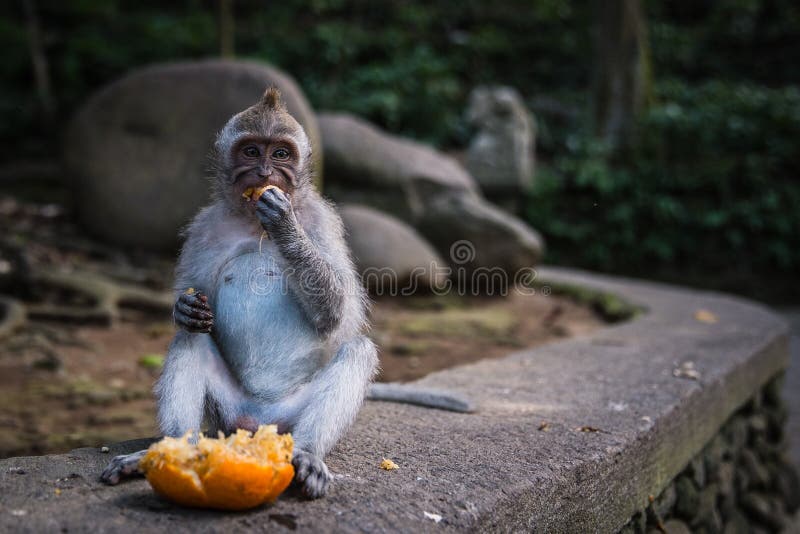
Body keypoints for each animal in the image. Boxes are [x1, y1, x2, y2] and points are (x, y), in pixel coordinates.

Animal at [100, 87, 472, 499]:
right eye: (251, 151)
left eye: (280, 153)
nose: (264, 174)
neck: (252, 222)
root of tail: (256, 420)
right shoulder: (204, 227)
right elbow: (195, 302)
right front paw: (185, 308)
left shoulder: (323, 222)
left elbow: (336, 314)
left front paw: (284, 225)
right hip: (226, 412)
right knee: (190, 339)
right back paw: (170, 448)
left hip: (291, 417)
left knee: (356, 351)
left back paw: (308, 454)